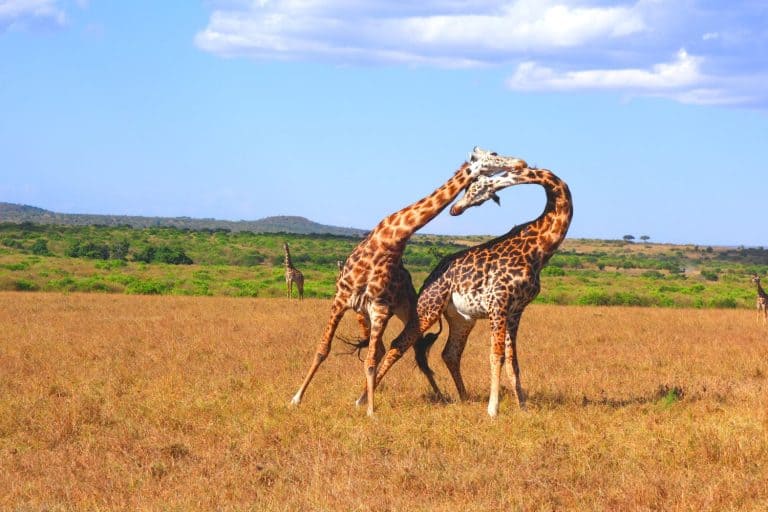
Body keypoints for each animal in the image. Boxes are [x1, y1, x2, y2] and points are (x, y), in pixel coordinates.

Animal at [290, 148, 528, 416]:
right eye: (493, 157)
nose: (520, 162)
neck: (388, 241)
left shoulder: (380, 308)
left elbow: (370, 360)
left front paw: (371, 411)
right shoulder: (341, 299)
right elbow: (322, 350)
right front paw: (296, 398)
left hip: (405, 312)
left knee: (412, 352)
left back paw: (437, 396)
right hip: (364, 313)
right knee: (388, 349)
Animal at [373, 166, 572, 417]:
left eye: (474, 186)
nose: (455, 209)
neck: (539, 249)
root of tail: (429, 279)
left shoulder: (516, 310)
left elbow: (512, 360)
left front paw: (523, 407)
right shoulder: (498, 303)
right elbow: (496, 355)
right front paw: (493, 409)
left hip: (462, 318)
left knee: (450, 353)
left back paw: (464, 398)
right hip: (429, 308)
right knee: (399, 343)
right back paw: (364, 397)